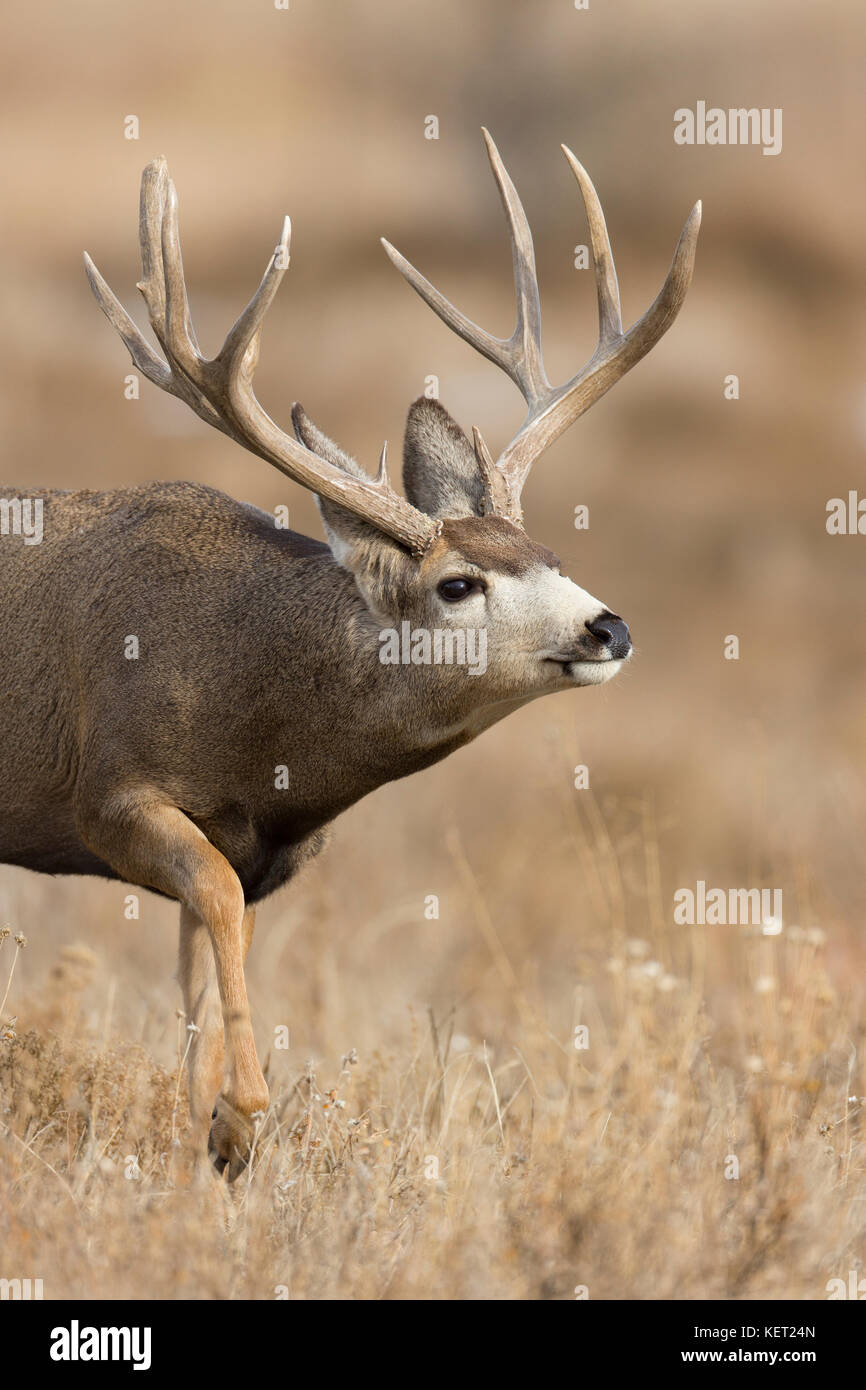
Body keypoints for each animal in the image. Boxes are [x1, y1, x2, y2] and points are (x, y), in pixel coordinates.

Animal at [0, 132, 699, 1177]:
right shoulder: (109, 788)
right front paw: (239, 1121)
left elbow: (202, 965)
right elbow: (213, 904)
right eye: (457, 585)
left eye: (554, 556)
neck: (263, 727)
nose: (606, 628)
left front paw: (198, 1128)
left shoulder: (268, 853)